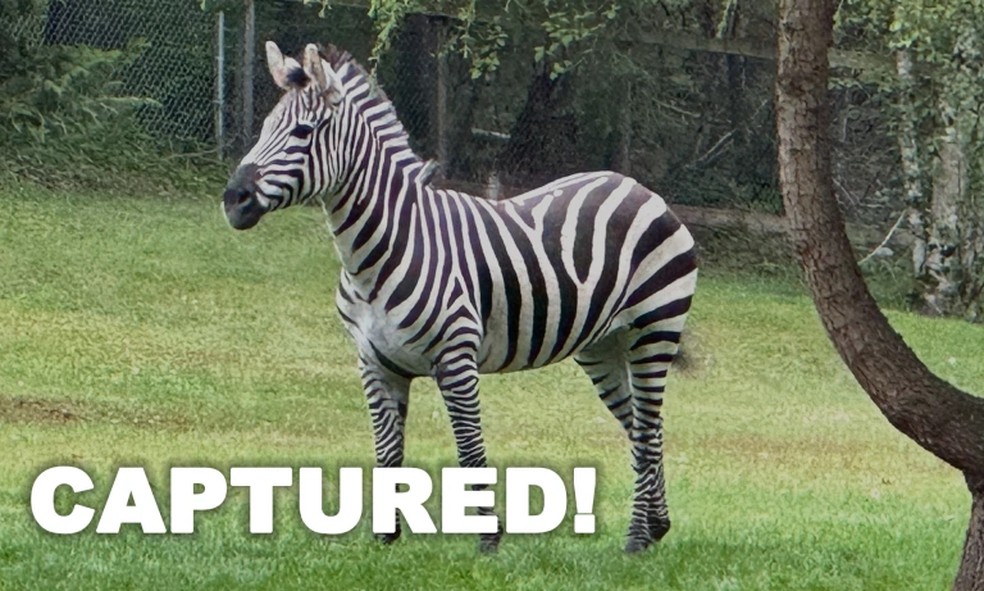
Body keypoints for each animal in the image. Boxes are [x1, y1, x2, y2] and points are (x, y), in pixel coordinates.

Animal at [222, 41, 698, 554]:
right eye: (264, 129)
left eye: (303, 132)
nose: (233, 200)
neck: (380, 251)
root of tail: (637, 187)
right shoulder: (374, 364)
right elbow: (387, 453)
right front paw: (385, 540)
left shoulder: (455, 358)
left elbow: (469, 449)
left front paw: (489, 541)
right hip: (602, 345)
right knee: (642, 428)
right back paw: (655, 527)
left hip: (654, 330)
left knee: (647, 428)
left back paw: (635, 540)